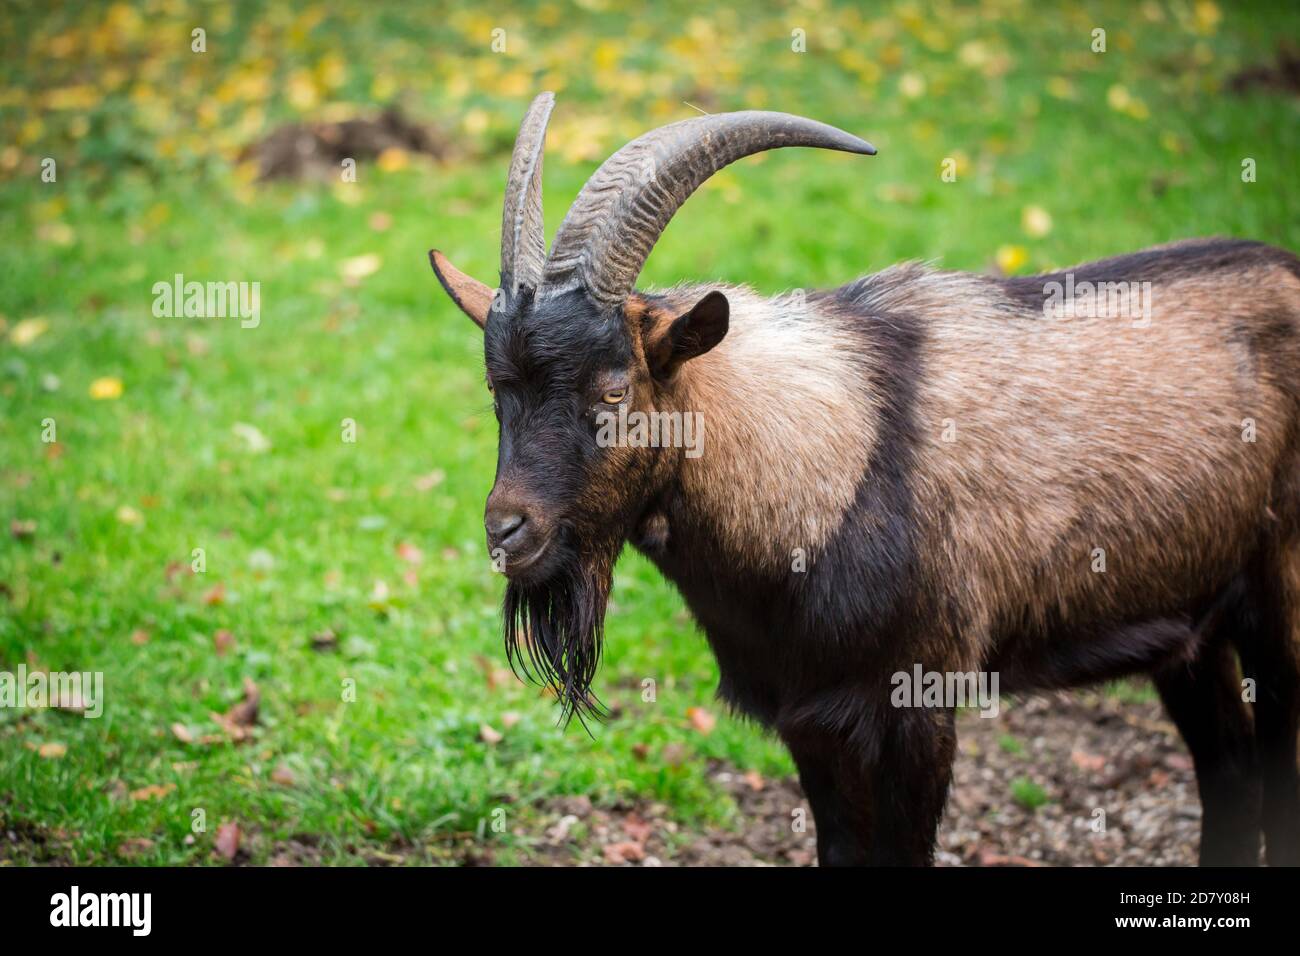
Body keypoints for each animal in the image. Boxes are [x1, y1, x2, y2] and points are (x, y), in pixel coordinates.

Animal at [429, 92, 1300, 866]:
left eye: (614, 389)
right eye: (497, 391)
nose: (508, 533)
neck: (837, 462)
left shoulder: (917, 704)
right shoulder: (812, 720)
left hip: (1279, 603)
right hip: (1192, 627)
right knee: (1228, 772)